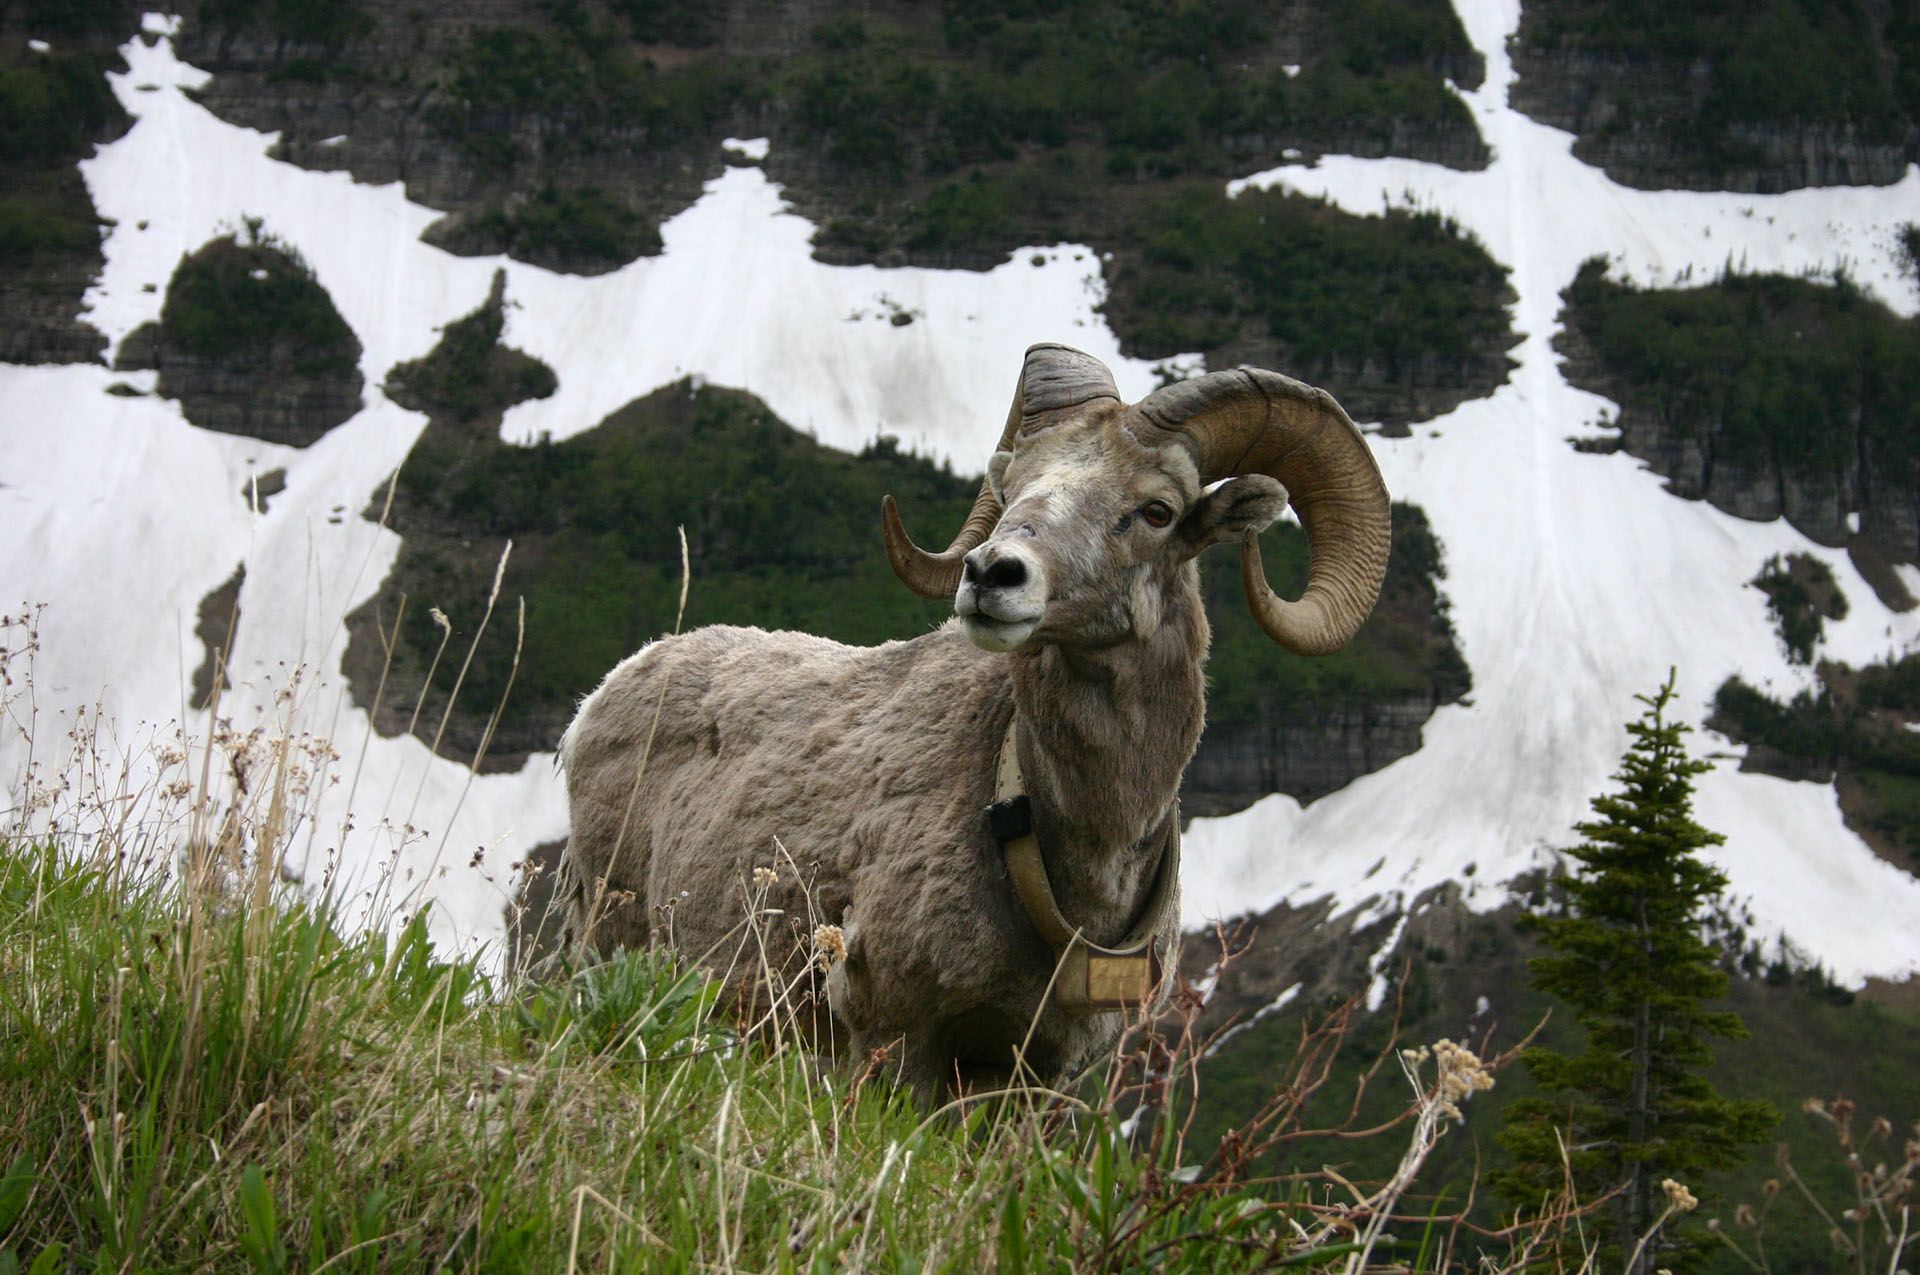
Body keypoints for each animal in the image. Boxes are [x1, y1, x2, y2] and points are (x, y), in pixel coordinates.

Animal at [554, 343, 1390, 1099]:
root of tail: (599, 698)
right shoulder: (894, 1036)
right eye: (1014, 486)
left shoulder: (1034, 1075)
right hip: (608, 943)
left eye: (1158, 510)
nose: (991, 574)